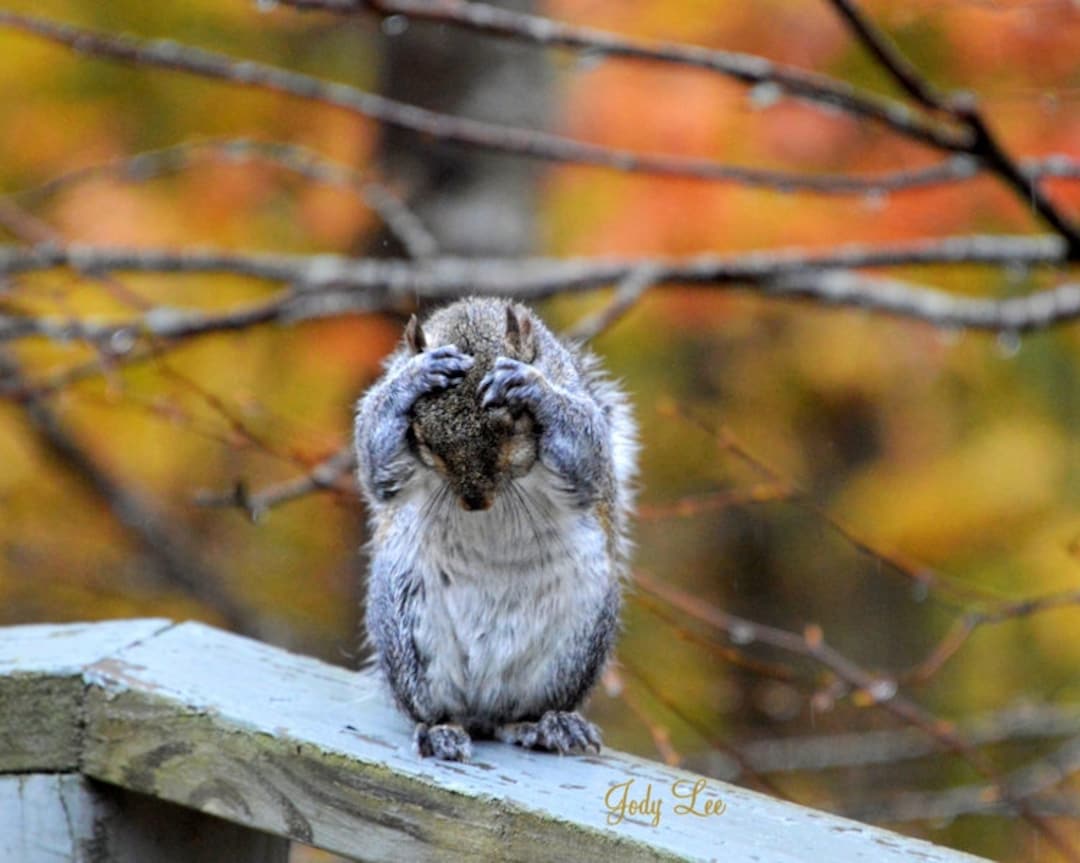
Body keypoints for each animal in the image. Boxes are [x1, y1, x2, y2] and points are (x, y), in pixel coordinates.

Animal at [354, 297, 637, 762]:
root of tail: (483, 709)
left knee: (521, 713)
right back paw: (440, 730)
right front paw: (416, 375)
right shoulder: (388, 465)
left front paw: (531, 386)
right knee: (435, 708)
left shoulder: (579, 417)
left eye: (512, 427)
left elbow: (587, 453)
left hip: (579, 639)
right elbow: (375, 461)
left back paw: (548, 724)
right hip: (408, 631)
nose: (474, 501)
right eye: (423, 438)